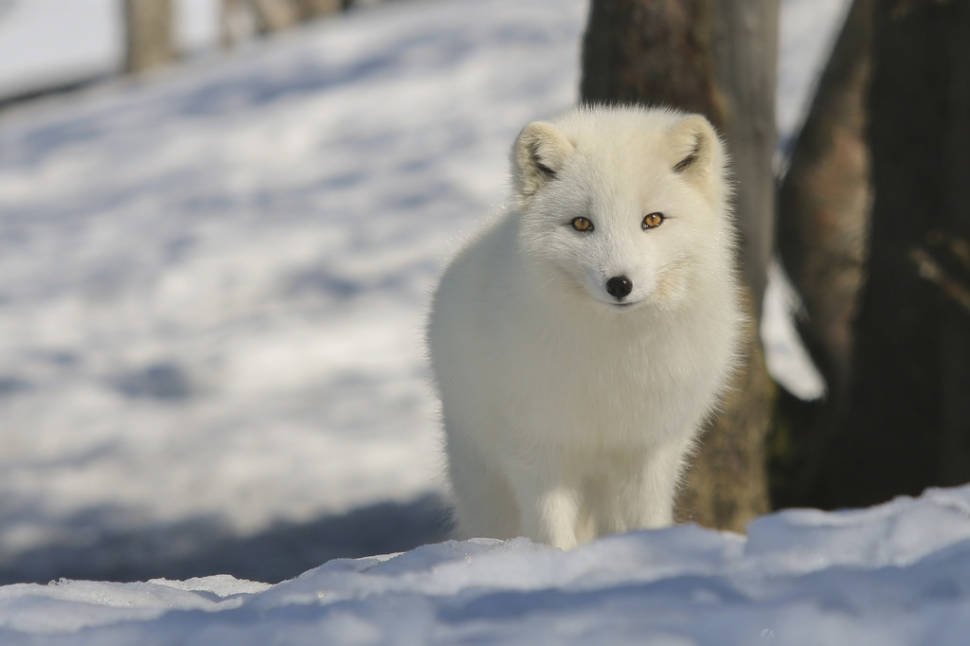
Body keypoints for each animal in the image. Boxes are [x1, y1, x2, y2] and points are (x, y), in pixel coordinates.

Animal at [427, 105, 743, 549]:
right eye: (581, 224)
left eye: (653, 220)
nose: (620, 284)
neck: (614, 362)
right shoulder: (537, 449)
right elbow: (551, 529)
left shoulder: (653, 449)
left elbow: (648, 518)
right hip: (485, 483)